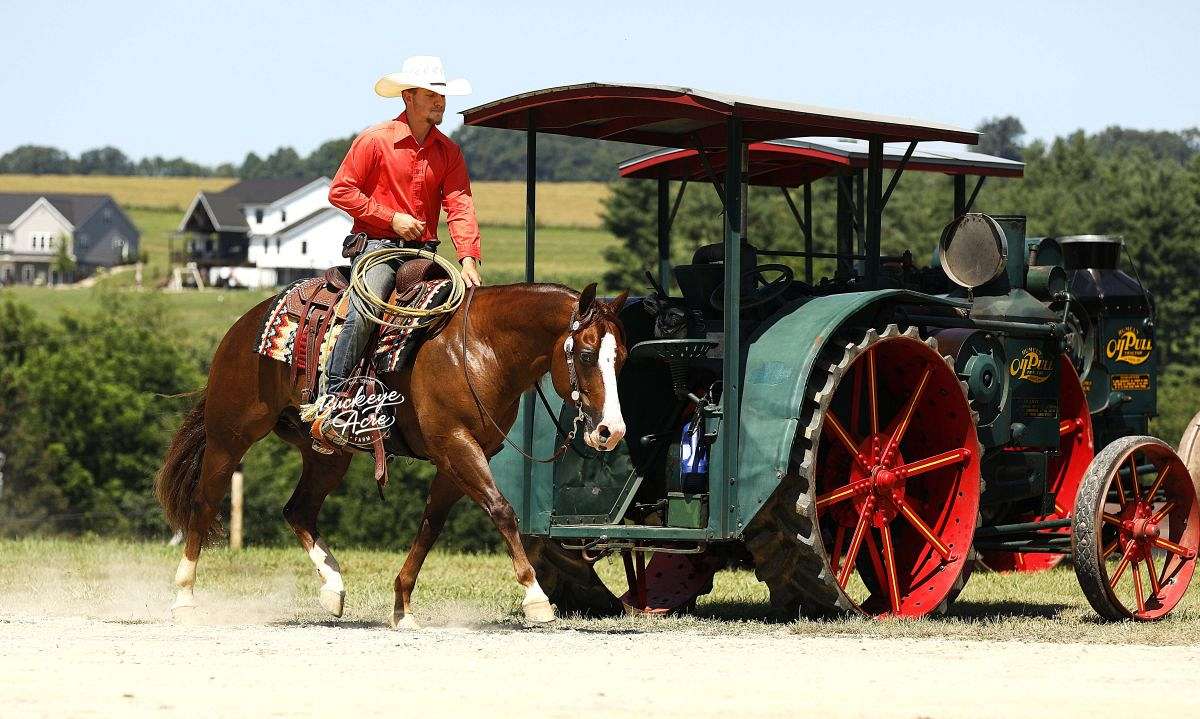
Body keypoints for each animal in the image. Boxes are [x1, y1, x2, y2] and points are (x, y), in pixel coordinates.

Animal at [155, 281, 629, 627]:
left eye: (621, 358)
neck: (476, 350)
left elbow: (430, 526)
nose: (611, 431)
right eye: (587, 354)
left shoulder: (455, 457)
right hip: (229, 436)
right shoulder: (457, 444)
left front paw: (402, 606)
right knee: (203, 505)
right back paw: (184, 598)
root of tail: (245, 324)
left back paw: (333, 588)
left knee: (298, 510)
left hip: (326, 455)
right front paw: (536, 598)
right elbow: (501, 510)